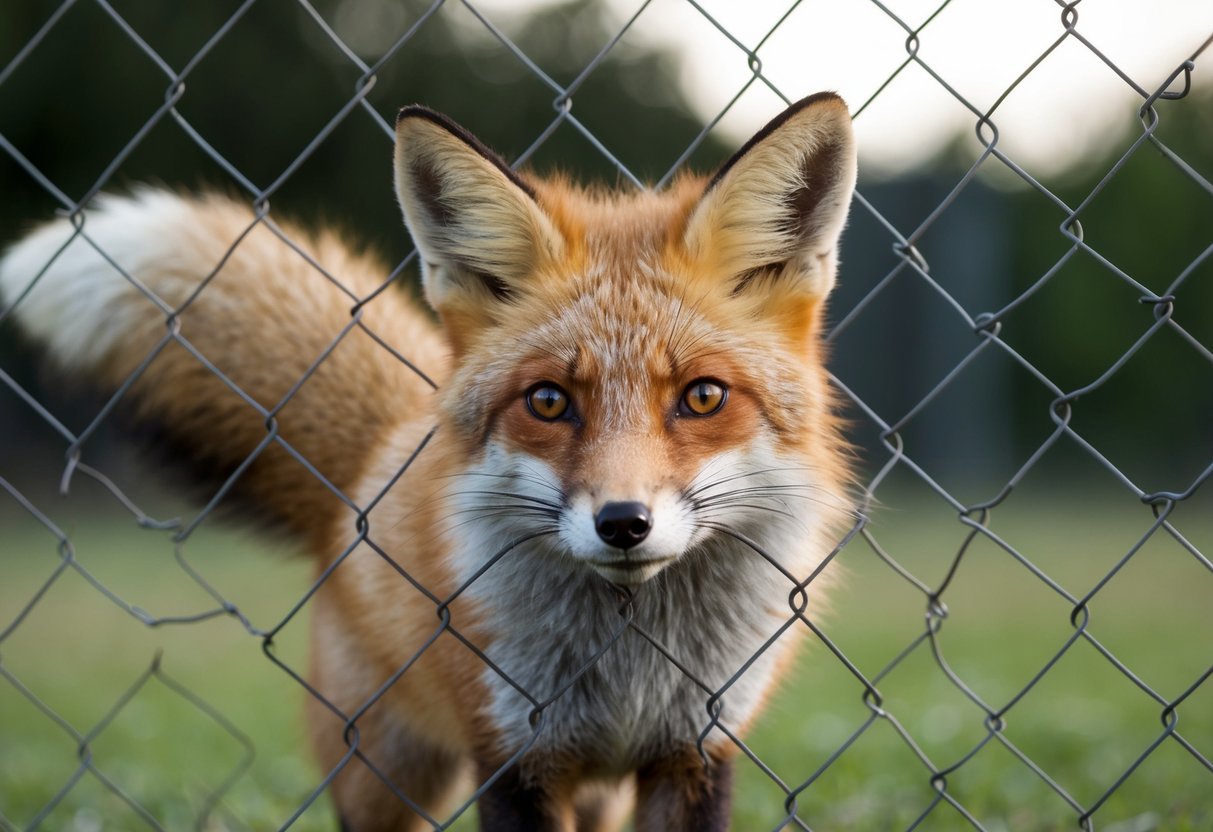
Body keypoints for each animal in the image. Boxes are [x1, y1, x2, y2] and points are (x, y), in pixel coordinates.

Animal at [0, 92, 857, 831]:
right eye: (548, 402)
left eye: (702, 397)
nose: (622, 524)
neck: (629, 674)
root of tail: (373, 461)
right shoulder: (510, 757)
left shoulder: (695, 755)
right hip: (386, 776)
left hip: (594, 796)